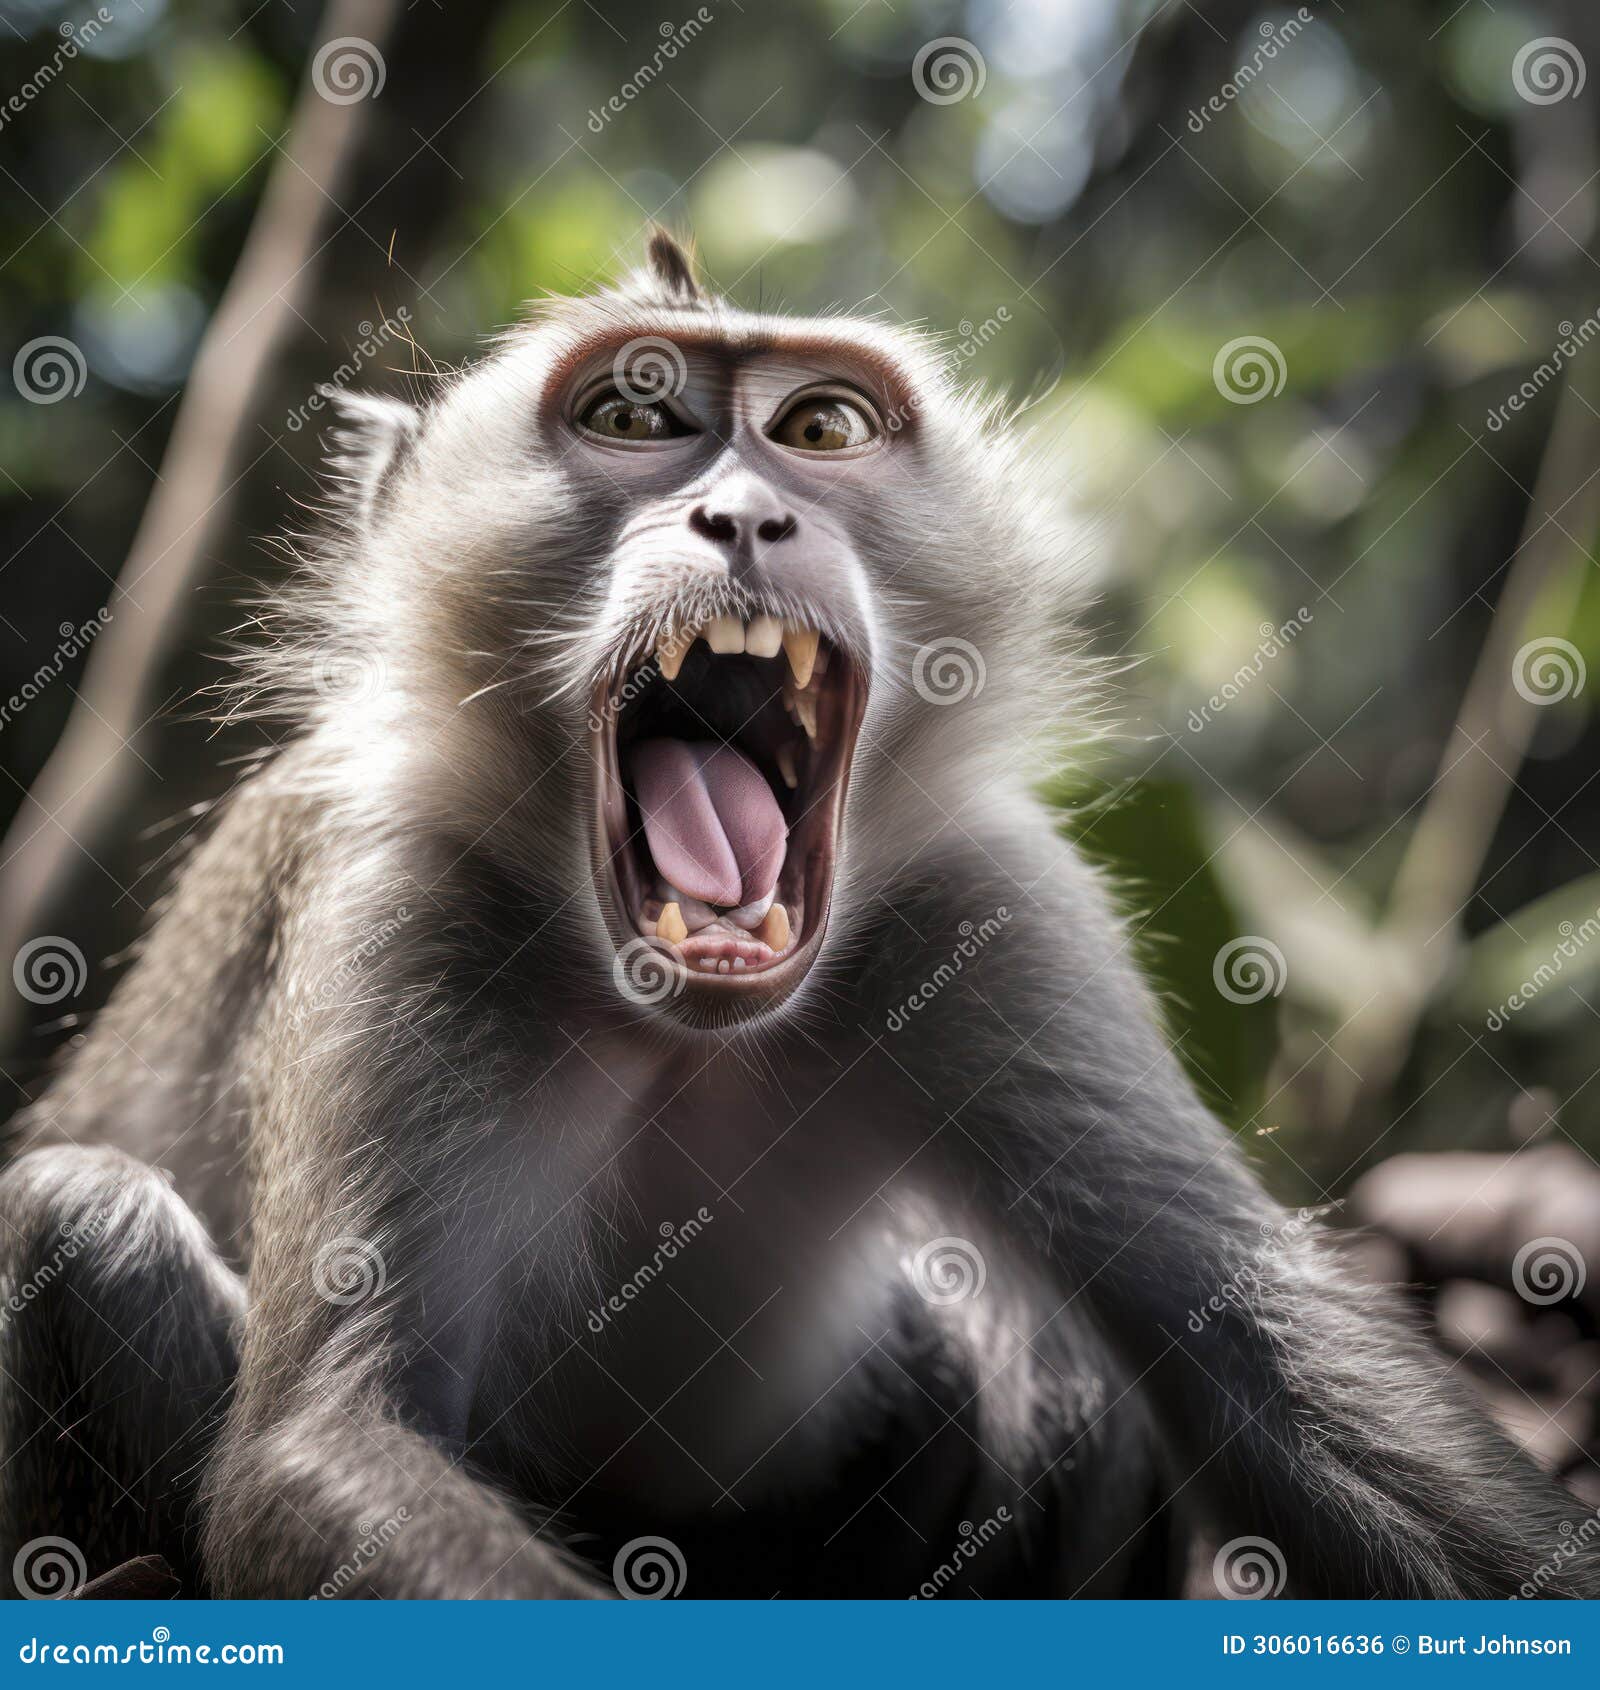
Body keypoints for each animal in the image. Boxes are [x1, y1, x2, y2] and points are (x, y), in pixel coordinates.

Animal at [0, 229, 1593, 1600]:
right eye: (634, 415)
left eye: (821, 432)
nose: (746, 514)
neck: (679, 1025)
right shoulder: (403, 909)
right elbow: (319, 1445)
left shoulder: (994, 914)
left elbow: (1264, 1357)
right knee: (87, 1216)